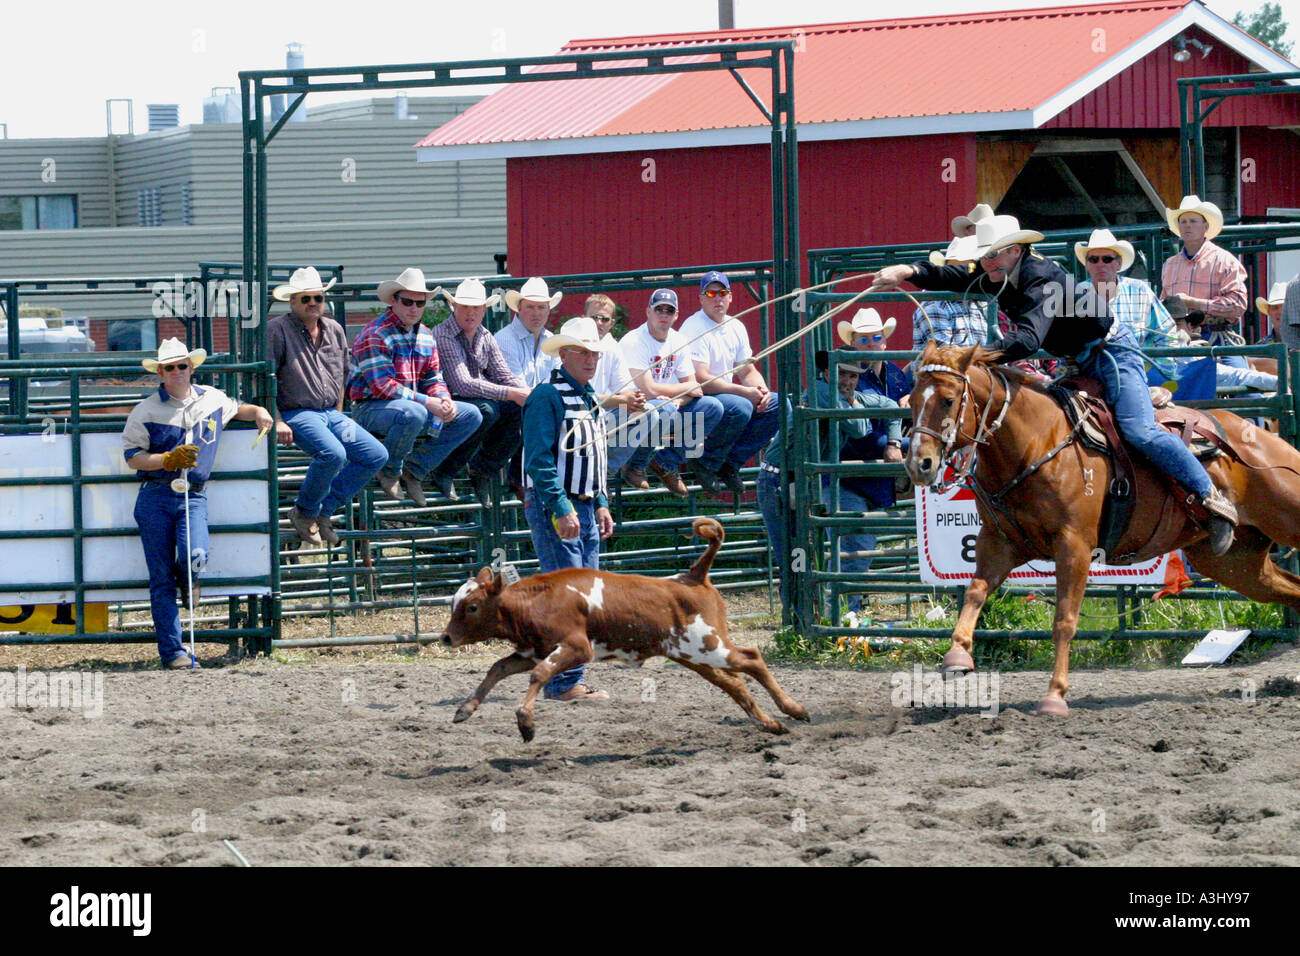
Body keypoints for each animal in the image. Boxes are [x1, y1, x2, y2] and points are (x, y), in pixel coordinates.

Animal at [440, 517, 809, 742]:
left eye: (472, 607)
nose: (446, 637)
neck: (537, 601)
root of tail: (693, 575)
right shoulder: (533, 651)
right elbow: (497, 669)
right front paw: (464, 710)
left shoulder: (576, 648)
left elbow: (539, 675)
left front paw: (525, 723)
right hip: (694, 655)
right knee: (735, 684)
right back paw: (771, 724)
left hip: (709, 645)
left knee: (752, 658)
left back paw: (795, 709)